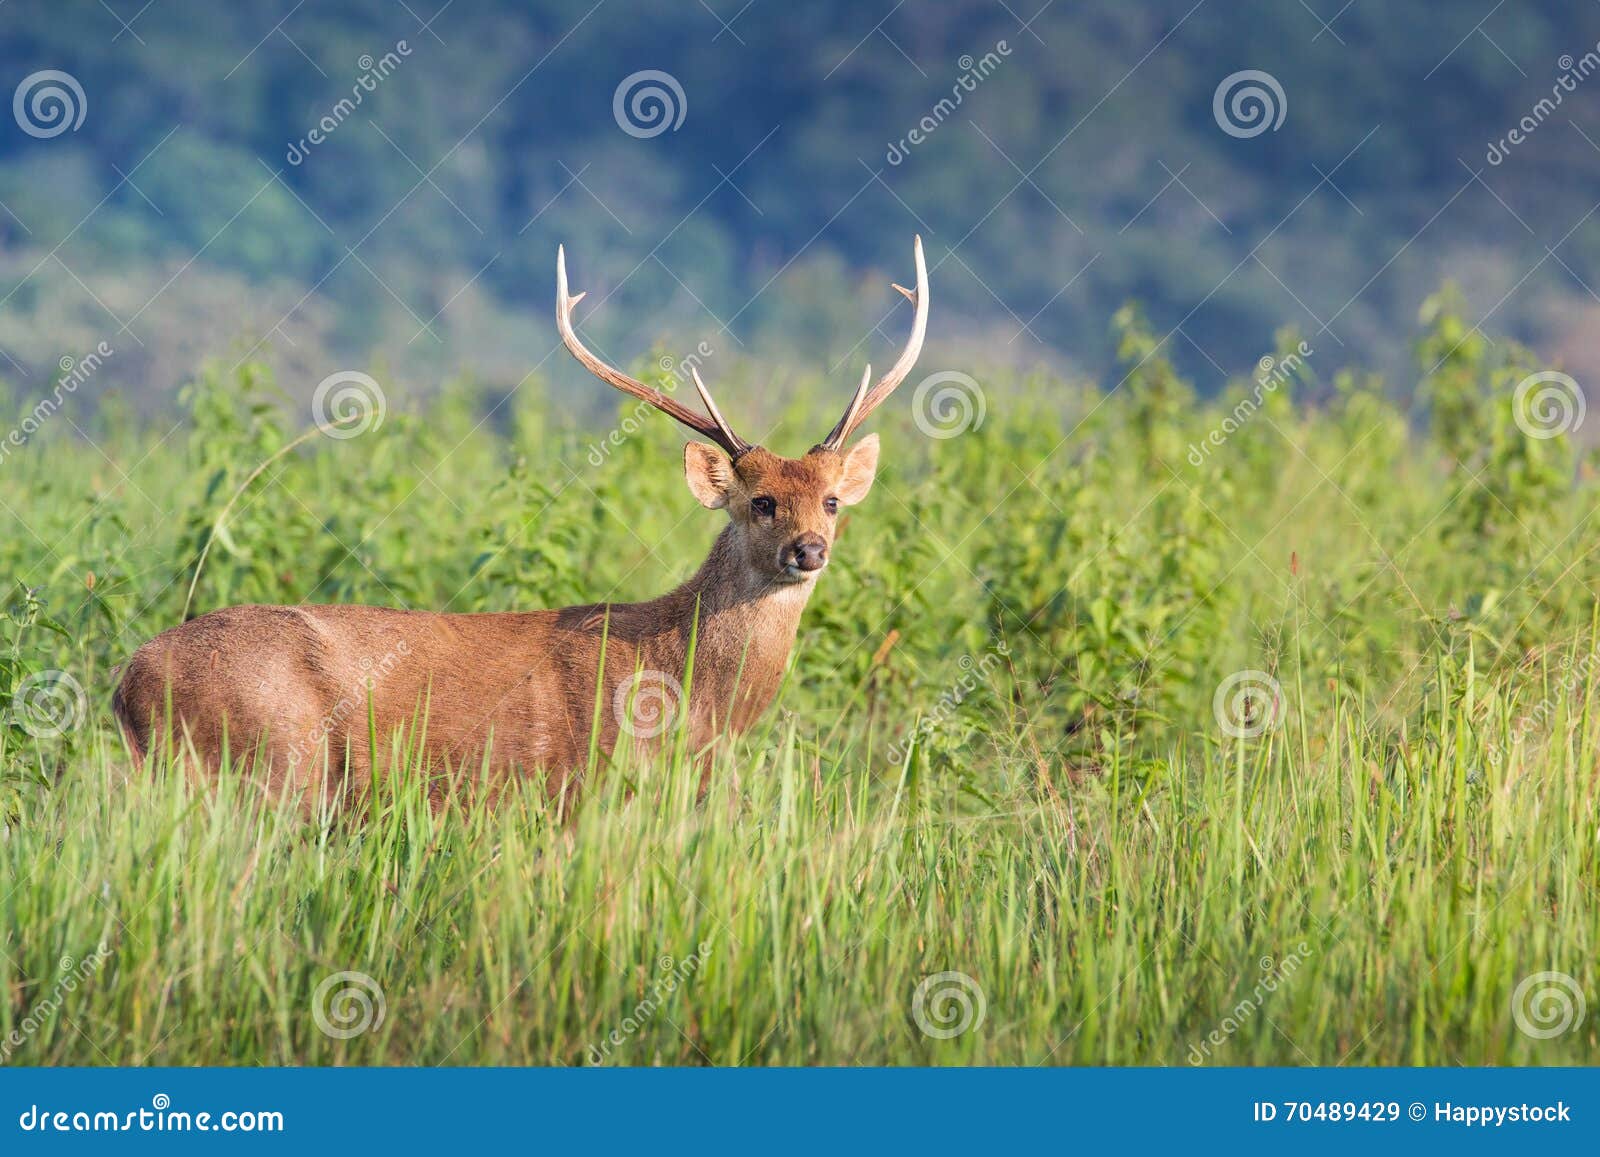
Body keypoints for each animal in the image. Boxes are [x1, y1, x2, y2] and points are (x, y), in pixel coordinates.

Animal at [113, 237, 929, 809]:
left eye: (831, 499)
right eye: (760, 499)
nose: (809, 549)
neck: (688, 700)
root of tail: (127, 683)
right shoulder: (573, 791)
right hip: (274, 762)